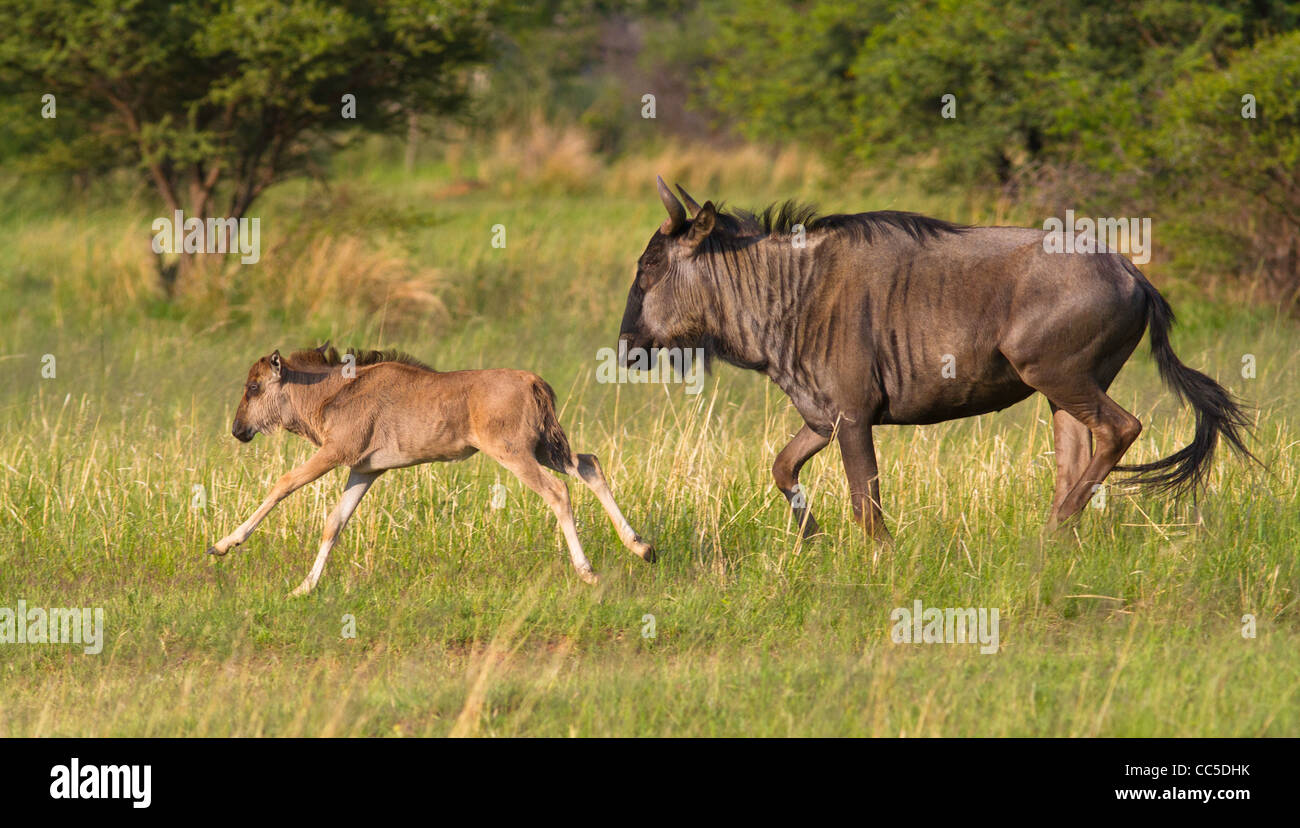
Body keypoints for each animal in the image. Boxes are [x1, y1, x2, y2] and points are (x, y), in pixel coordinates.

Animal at [207, 345, 655, 594]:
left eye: (253, 388)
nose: (238, 430)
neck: (333, 392)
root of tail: (533, 381)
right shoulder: (364, 470)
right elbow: (335, 523)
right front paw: (304, 587)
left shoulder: (335, 453)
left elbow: (282, 485)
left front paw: (223, 544)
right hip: (546, 449)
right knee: (590, 465)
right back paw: (641, 546)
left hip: (516, 454)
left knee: (558, 493)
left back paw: (588, 572)